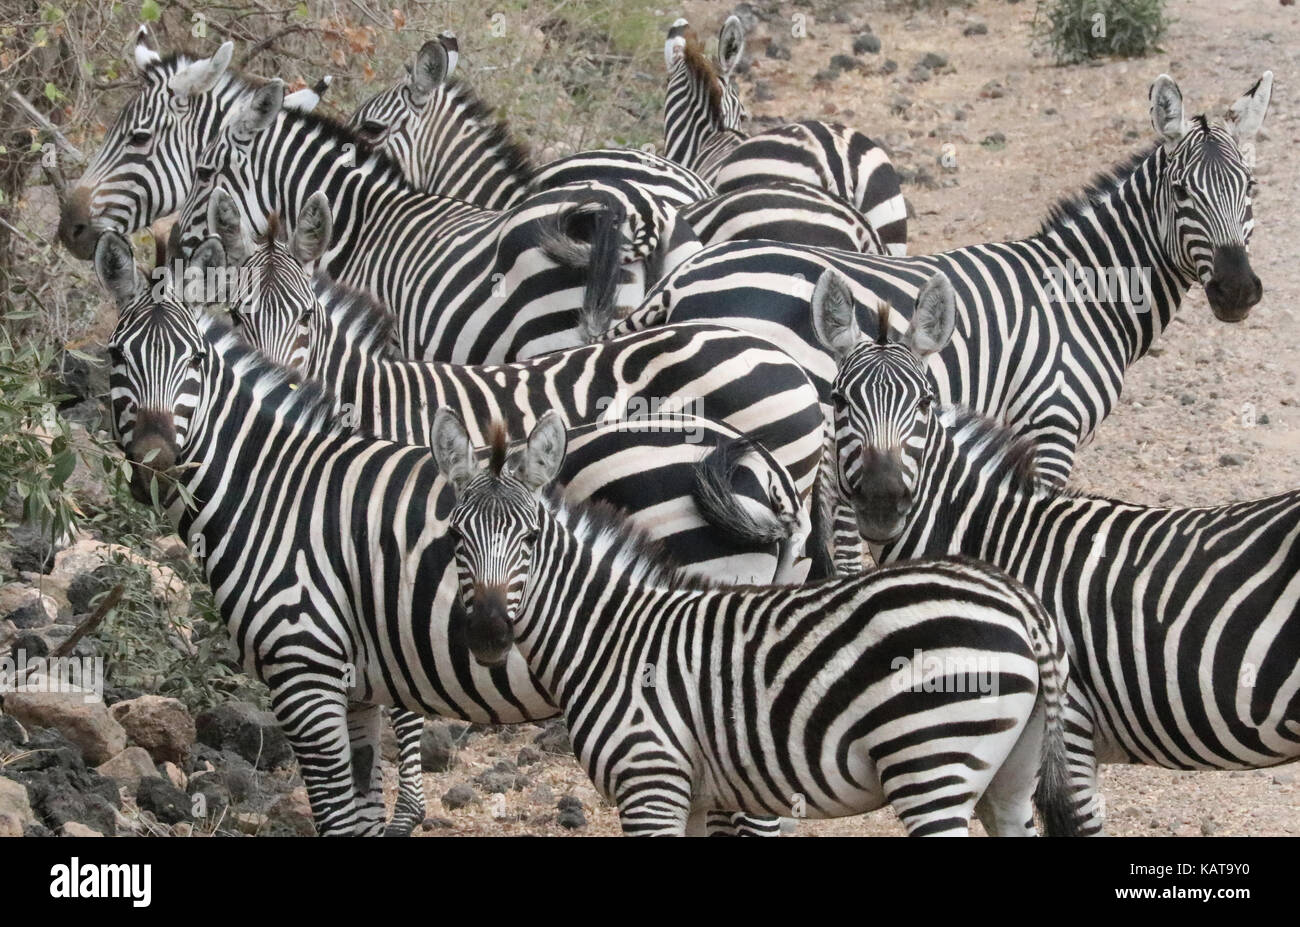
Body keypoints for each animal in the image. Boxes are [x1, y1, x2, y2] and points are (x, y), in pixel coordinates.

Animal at [95, 230, 809, 836]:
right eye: (116, 354)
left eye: (194, 358)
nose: (154, 461)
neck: (275, 484)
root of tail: (759, 466)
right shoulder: (358, 679)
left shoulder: (306, 668)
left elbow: (341, 811)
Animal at [431, 409, 1085, 836]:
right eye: (456, 537)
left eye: (529, 539)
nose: (488, 633)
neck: (611, 638)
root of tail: (1021, 605)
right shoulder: (694, 795)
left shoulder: (650, 782)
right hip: (1011, 774)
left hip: (932, 763)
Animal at [611, 71, 1273, 493]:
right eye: (1182, 192)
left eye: (1252, 186)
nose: (1238, 290)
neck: (1082, 297)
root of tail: (679, 280)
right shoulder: (1050, 429)